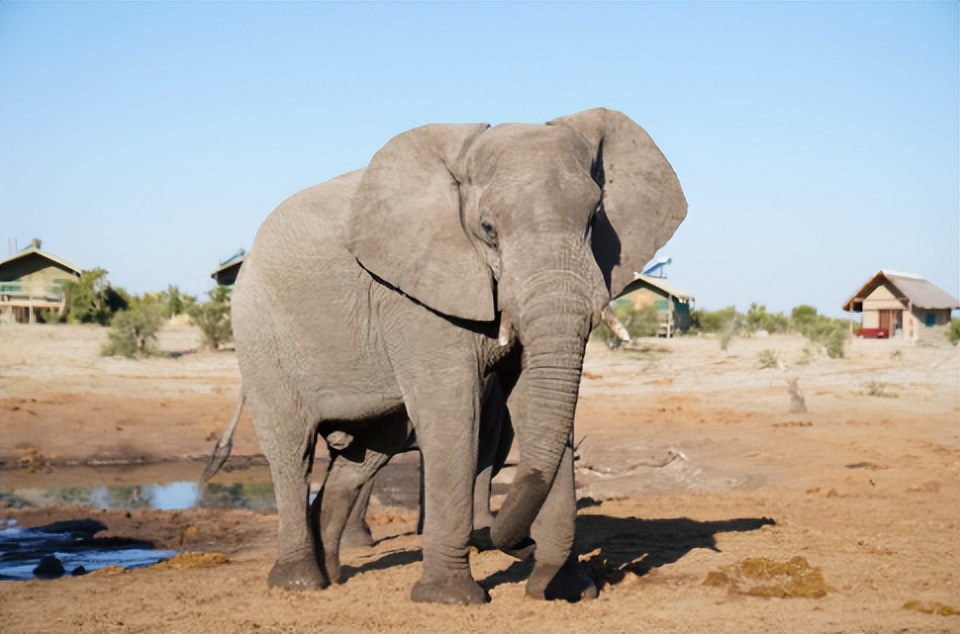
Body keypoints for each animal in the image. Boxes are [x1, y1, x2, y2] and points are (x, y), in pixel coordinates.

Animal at [230, 107, 686, 604]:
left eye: (593, 218)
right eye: (488, 230)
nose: (521, 546)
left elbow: (534, 402)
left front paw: (566, 591)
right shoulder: (413, 294)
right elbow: (453, 413)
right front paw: (451, 599)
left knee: (364, 456)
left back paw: (331, 574)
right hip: (259, 335)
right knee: (291, 449)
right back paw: (300, 583)